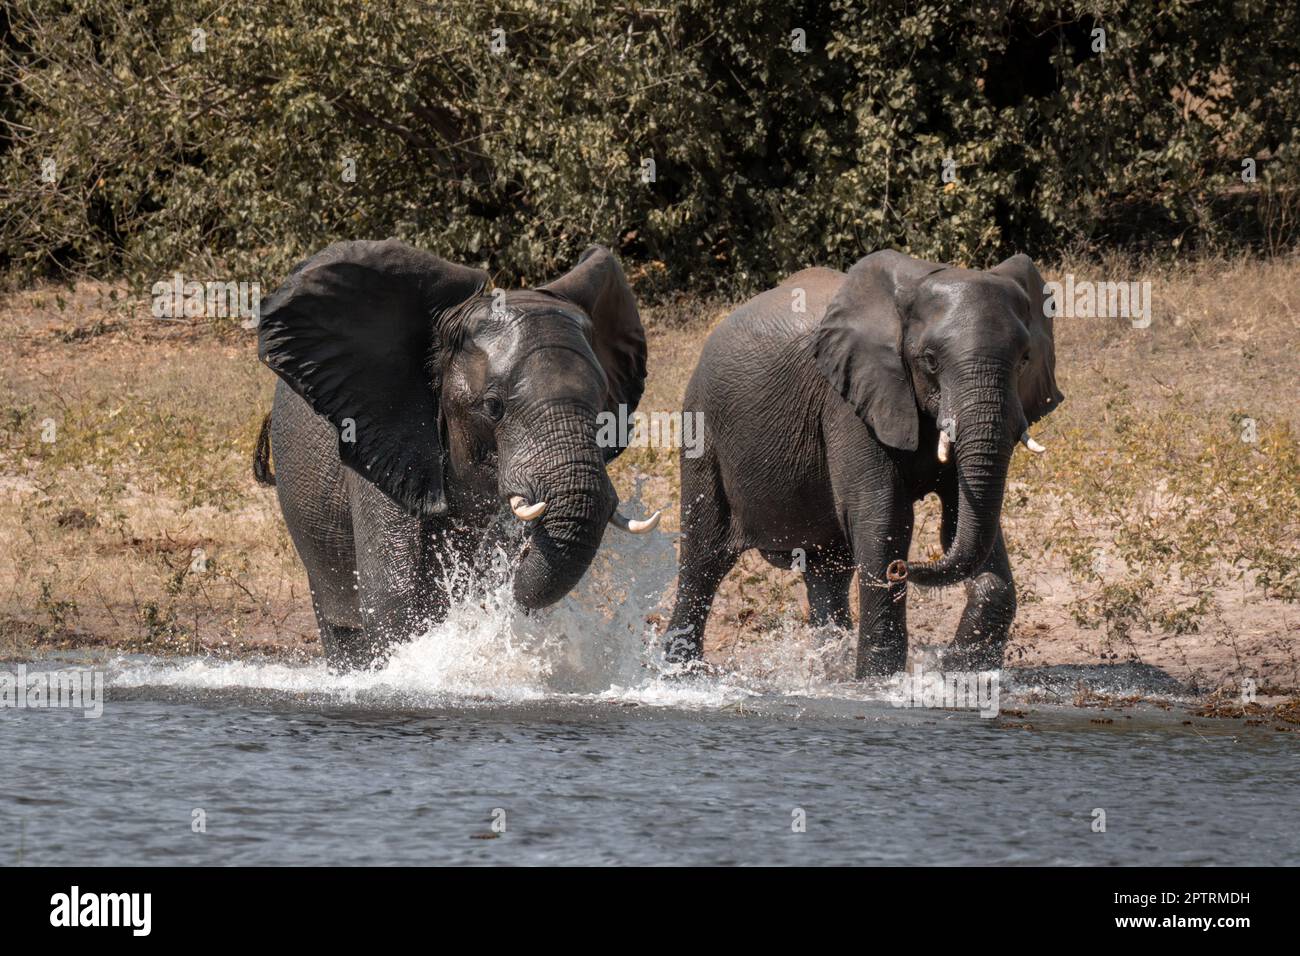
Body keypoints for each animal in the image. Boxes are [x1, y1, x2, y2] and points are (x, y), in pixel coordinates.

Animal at [663, 250, 1063, 677]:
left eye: (1025, 360)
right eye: (930, 361)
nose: (903, 568)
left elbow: (961, 520)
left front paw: (957, 672)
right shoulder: (848, 400)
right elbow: (883, 513)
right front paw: (878, 682)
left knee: (827, 570)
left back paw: (828, 670)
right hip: (702, 427)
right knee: (704, 559)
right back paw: (678, 672)